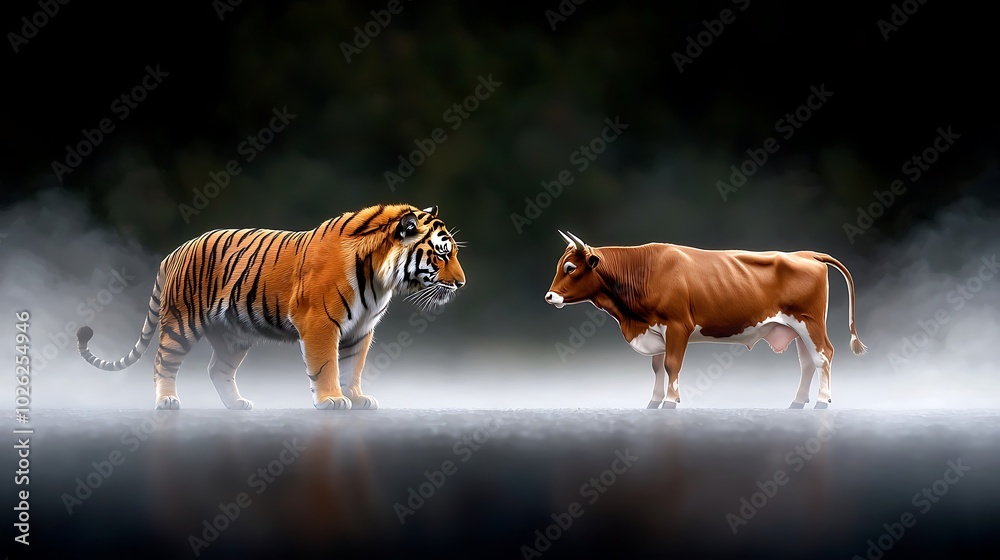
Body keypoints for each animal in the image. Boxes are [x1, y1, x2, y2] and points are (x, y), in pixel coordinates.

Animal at [75, 204, 466, 410]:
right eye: (442, 253)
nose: (462, 283)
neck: (380, 277)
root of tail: (177, 251)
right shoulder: (320, 324)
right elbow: (326, 366)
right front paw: (331, 400)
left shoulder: (361, 330)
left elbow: (353, 368)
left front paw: (356, 398)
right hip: (181, 323)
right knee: (162, 362)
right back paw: (167, 401)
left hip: (233, 335)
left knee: (217, 369)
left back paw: (237, 404)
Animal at [544, 231, 866, 409]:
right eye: (560, 265)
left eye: (570, 268)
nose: (549, 297)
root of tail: (808, 254)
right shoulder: (656, 330)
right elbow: (657, 368)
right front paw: (653, 401)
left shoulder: (677, 326)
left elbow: (672, 365)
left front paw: (670, 402)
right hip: (797, 328)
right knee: (808, 362)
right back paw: (797, 403)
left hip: (809, 322)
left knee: (824, 355)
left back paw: (822, 401)